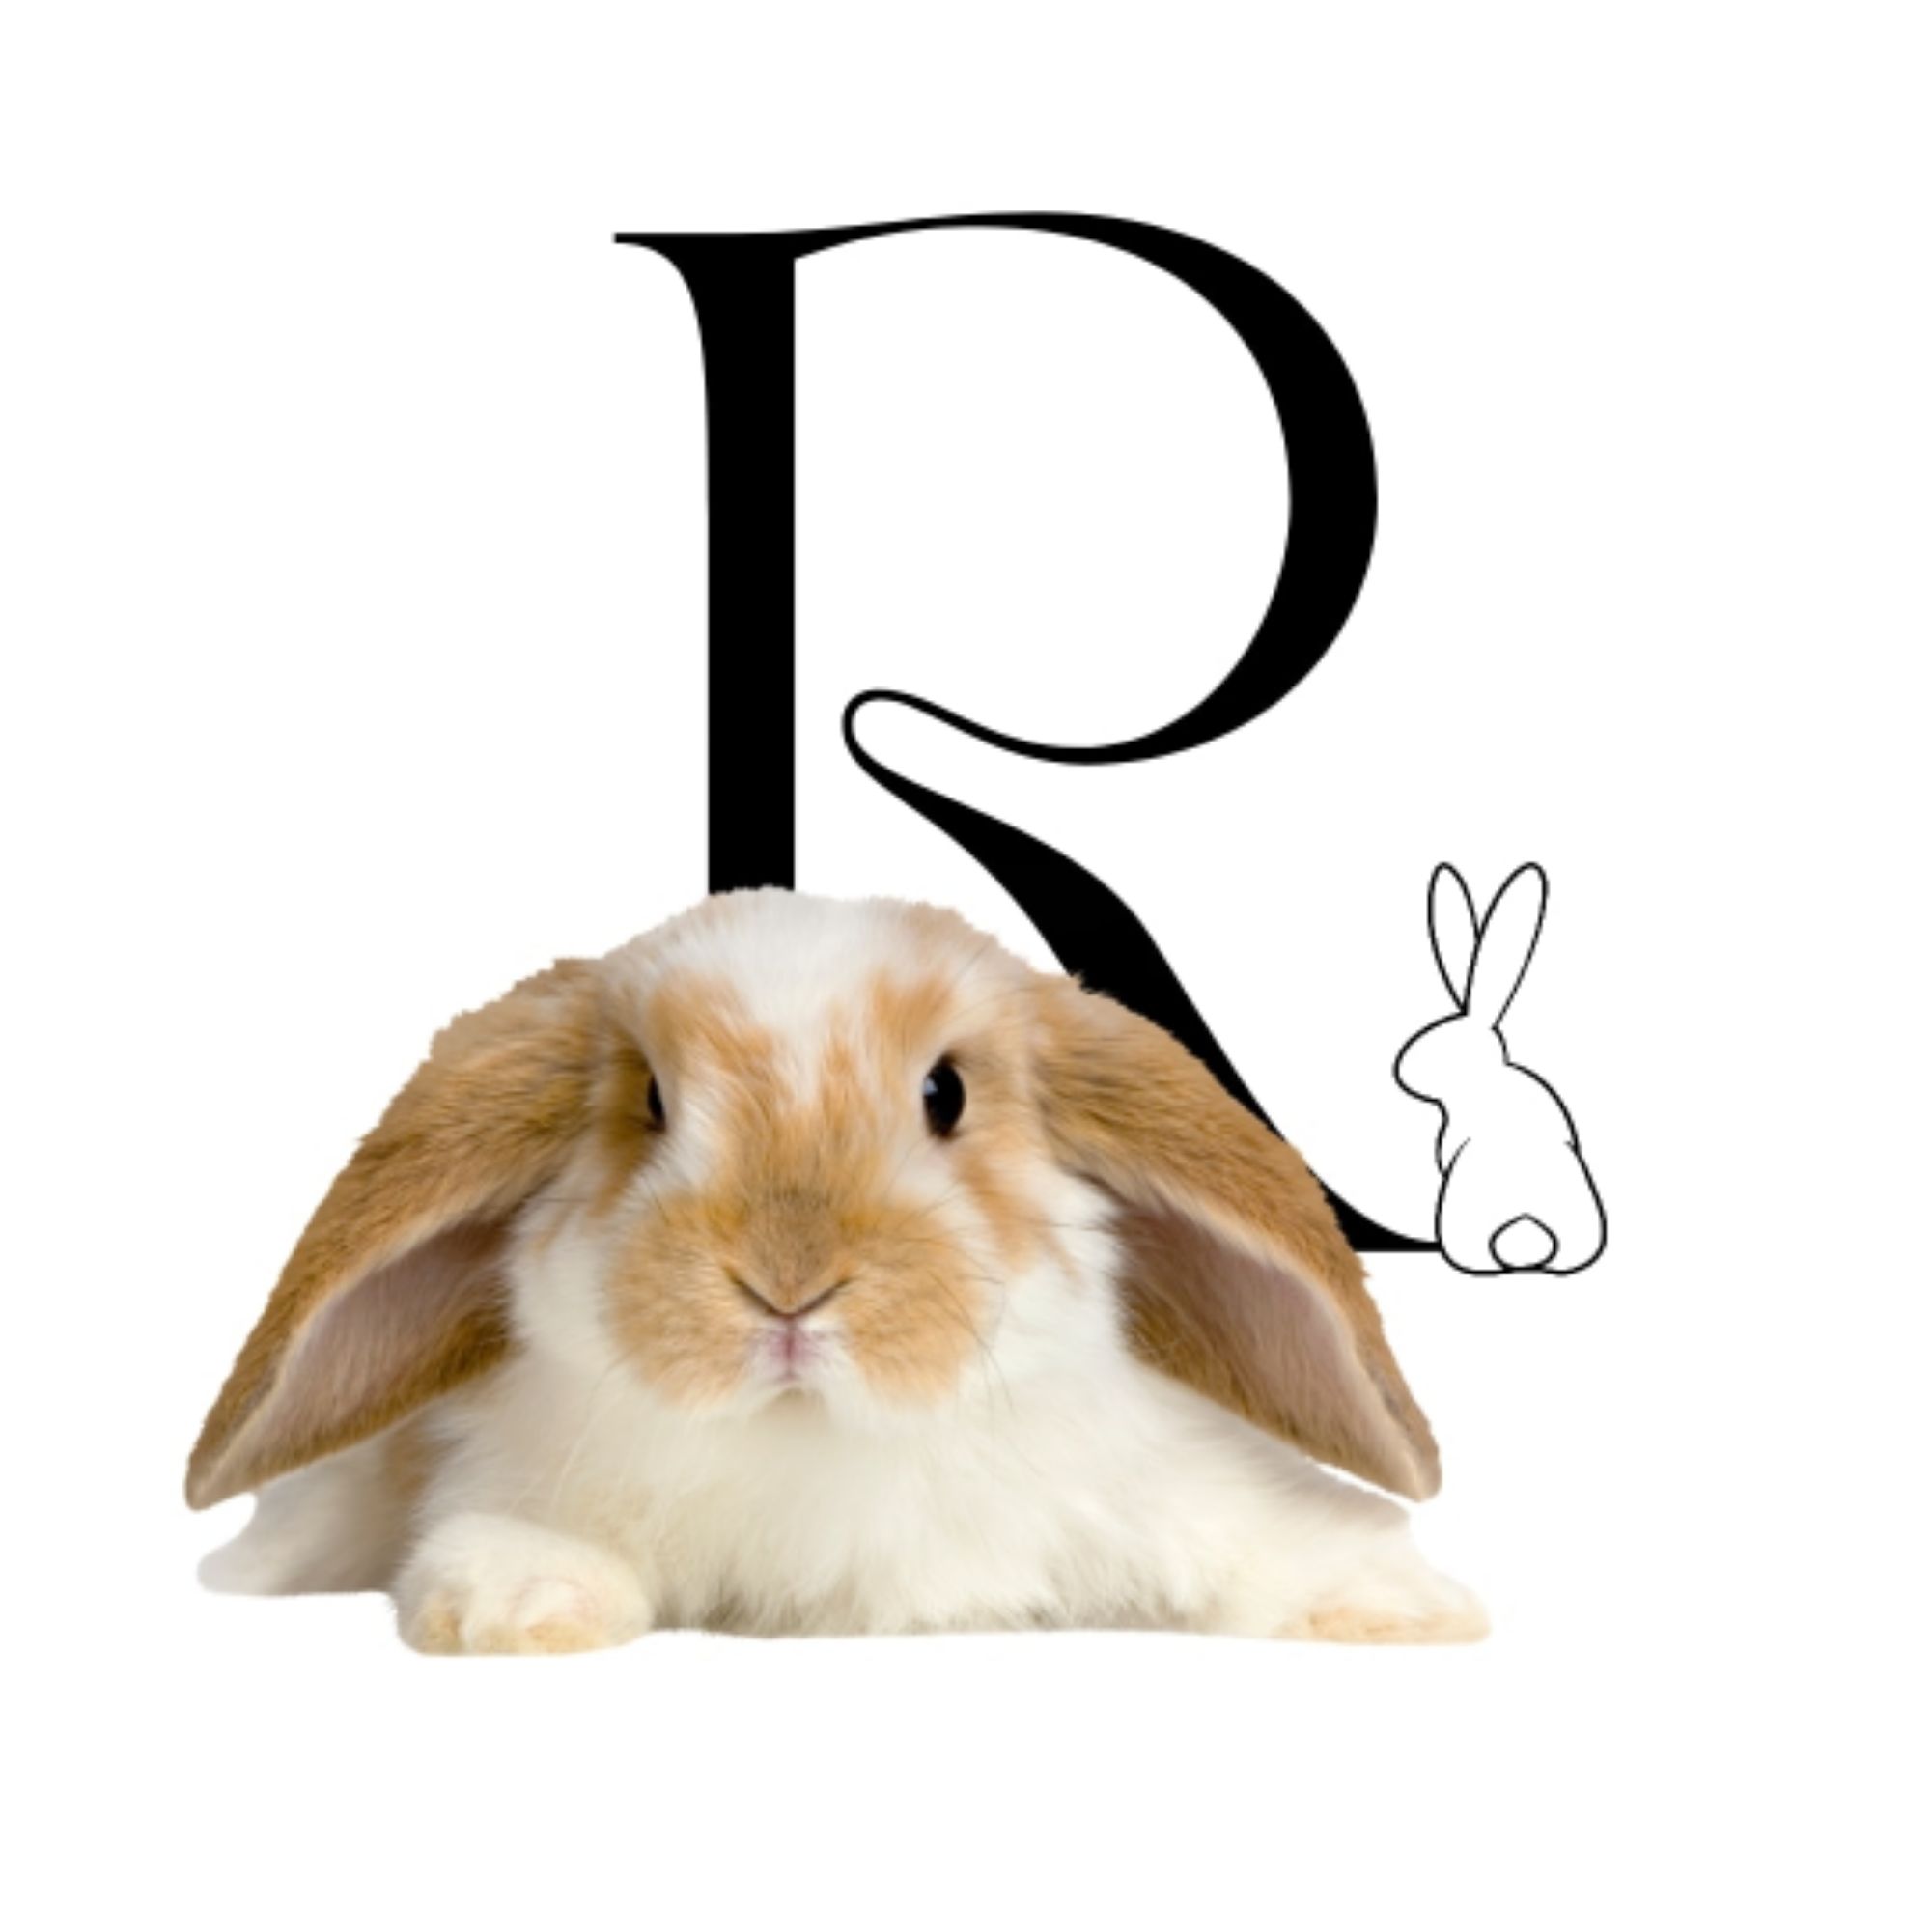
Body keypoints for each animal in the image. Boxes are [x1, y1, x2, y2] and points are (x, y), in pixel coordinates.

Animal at [189, 889, 1485, 1653]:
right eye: (650, 1102)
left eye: (945, 1094)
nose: (788, 1283)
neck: (820, 1437)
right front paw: (521, 1605)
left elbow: (1263, 1539)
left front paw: (1407, 1606)